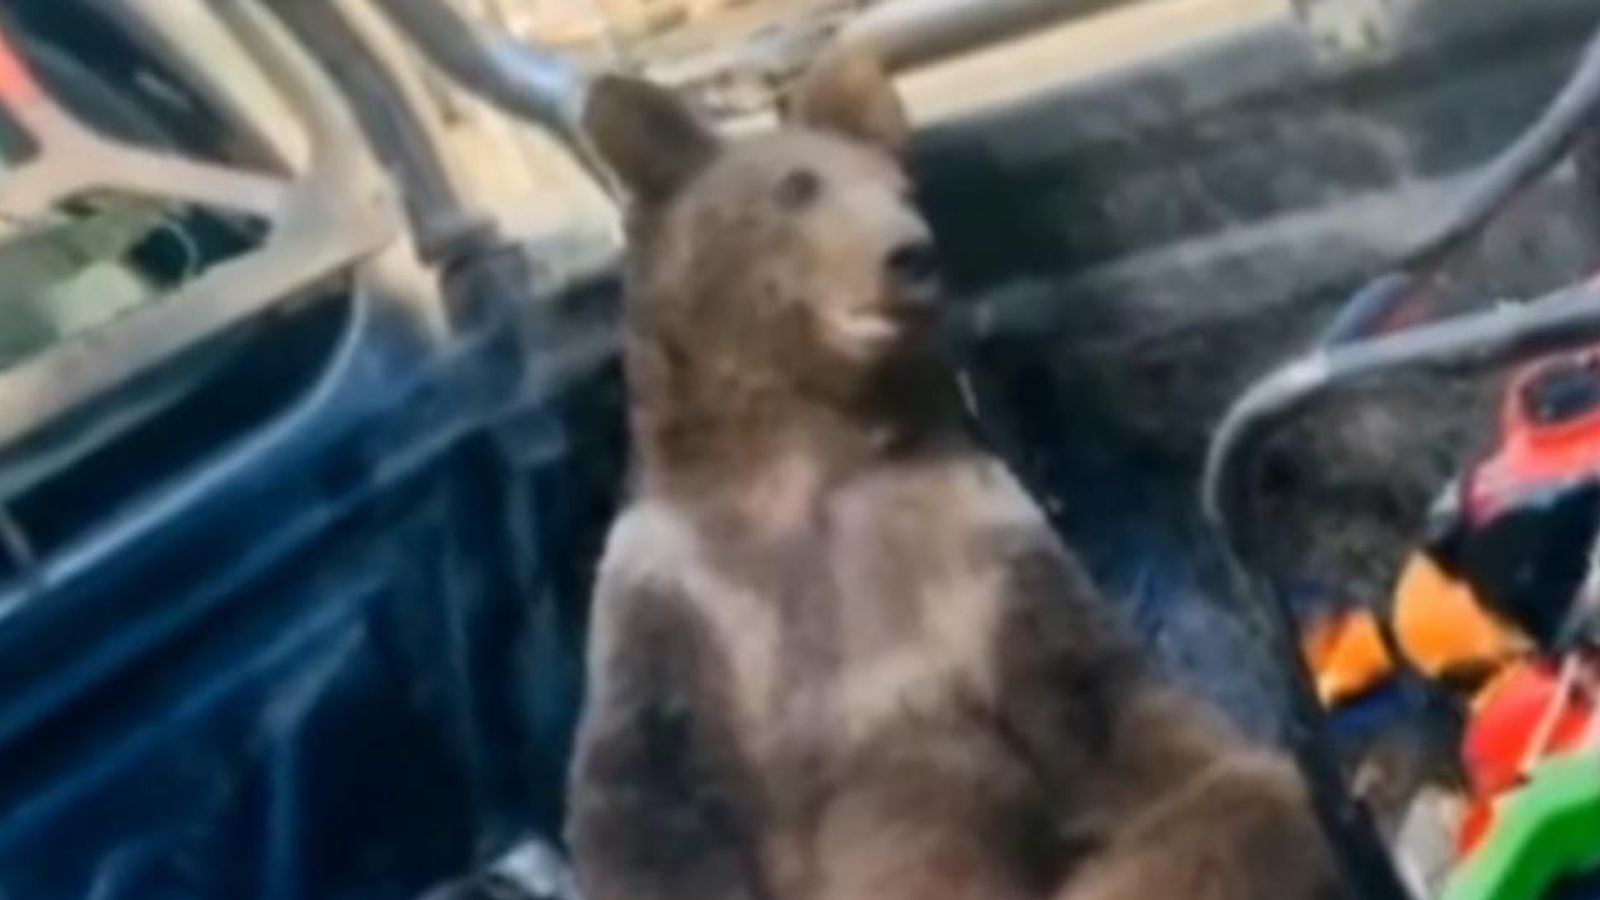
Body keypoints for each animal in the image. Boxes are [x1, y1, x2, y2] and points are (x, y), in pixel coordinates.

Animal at [567, 45, 1351, 900]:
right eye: (796, 186)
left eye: (900, 189)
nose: (909, 253)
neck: (814, 453)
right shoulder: (677, 595)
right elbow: (644, 794)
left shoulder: (974, 554)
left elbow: (1119, 713)